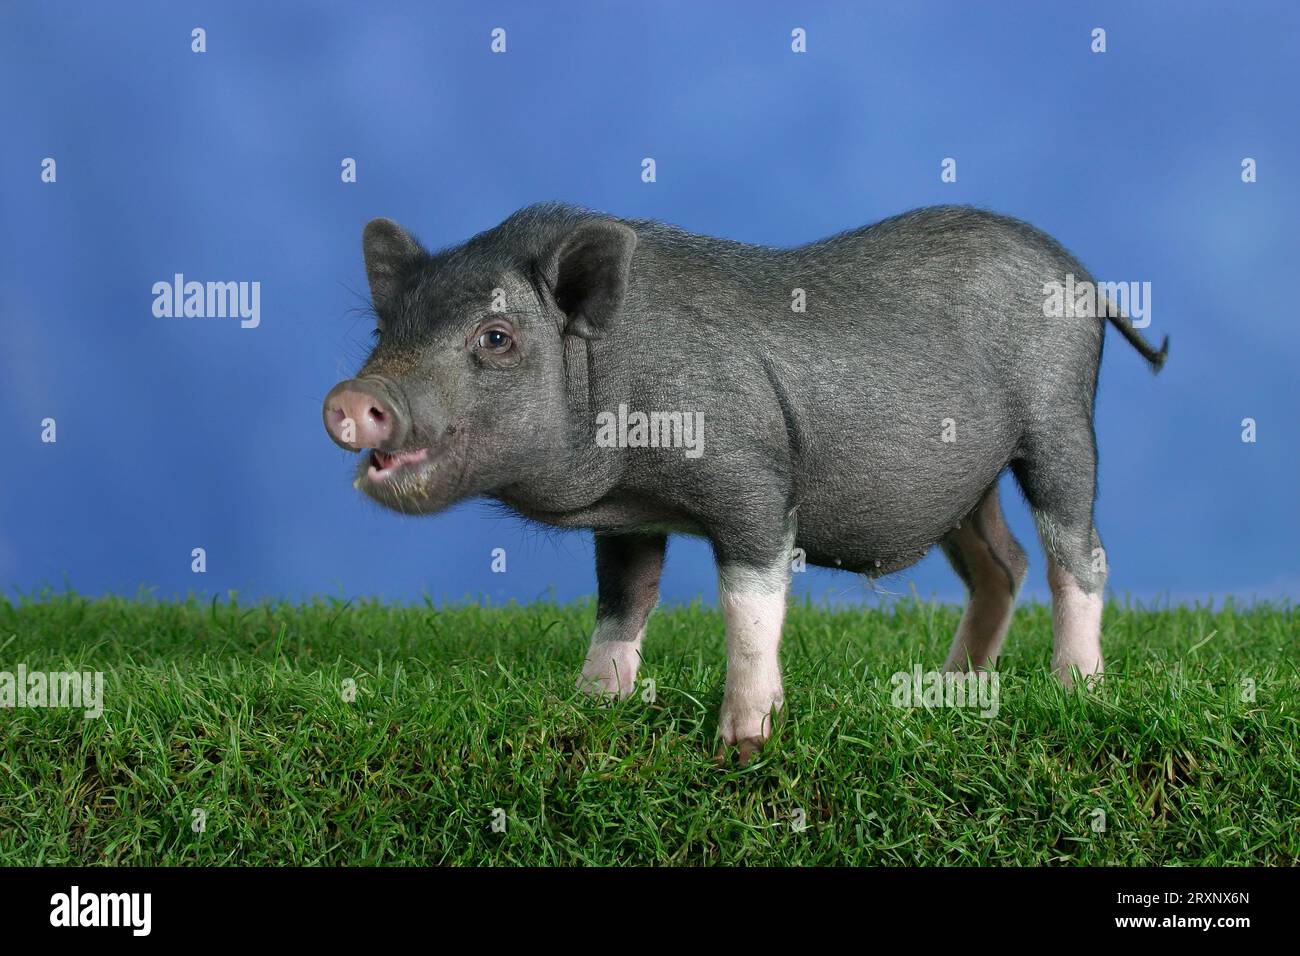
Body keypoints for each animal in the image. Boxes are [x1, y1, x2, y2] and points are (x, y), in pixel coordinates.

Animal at [323, 203, 1167, 764]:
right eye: (383, 330)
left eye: (496, 337)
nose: (349, 399)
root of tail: (1087, 281)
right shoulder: (630, 522)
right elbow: (622, 605)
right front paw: (591, 704)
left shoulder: (752, 484)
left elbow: (749, 604)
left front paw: (744, 743)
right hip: (971, 477)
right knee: (1002, 563)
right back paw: (953, 684)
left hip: (1060, 424)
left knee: (1079, 553)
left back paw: (1074, 688)